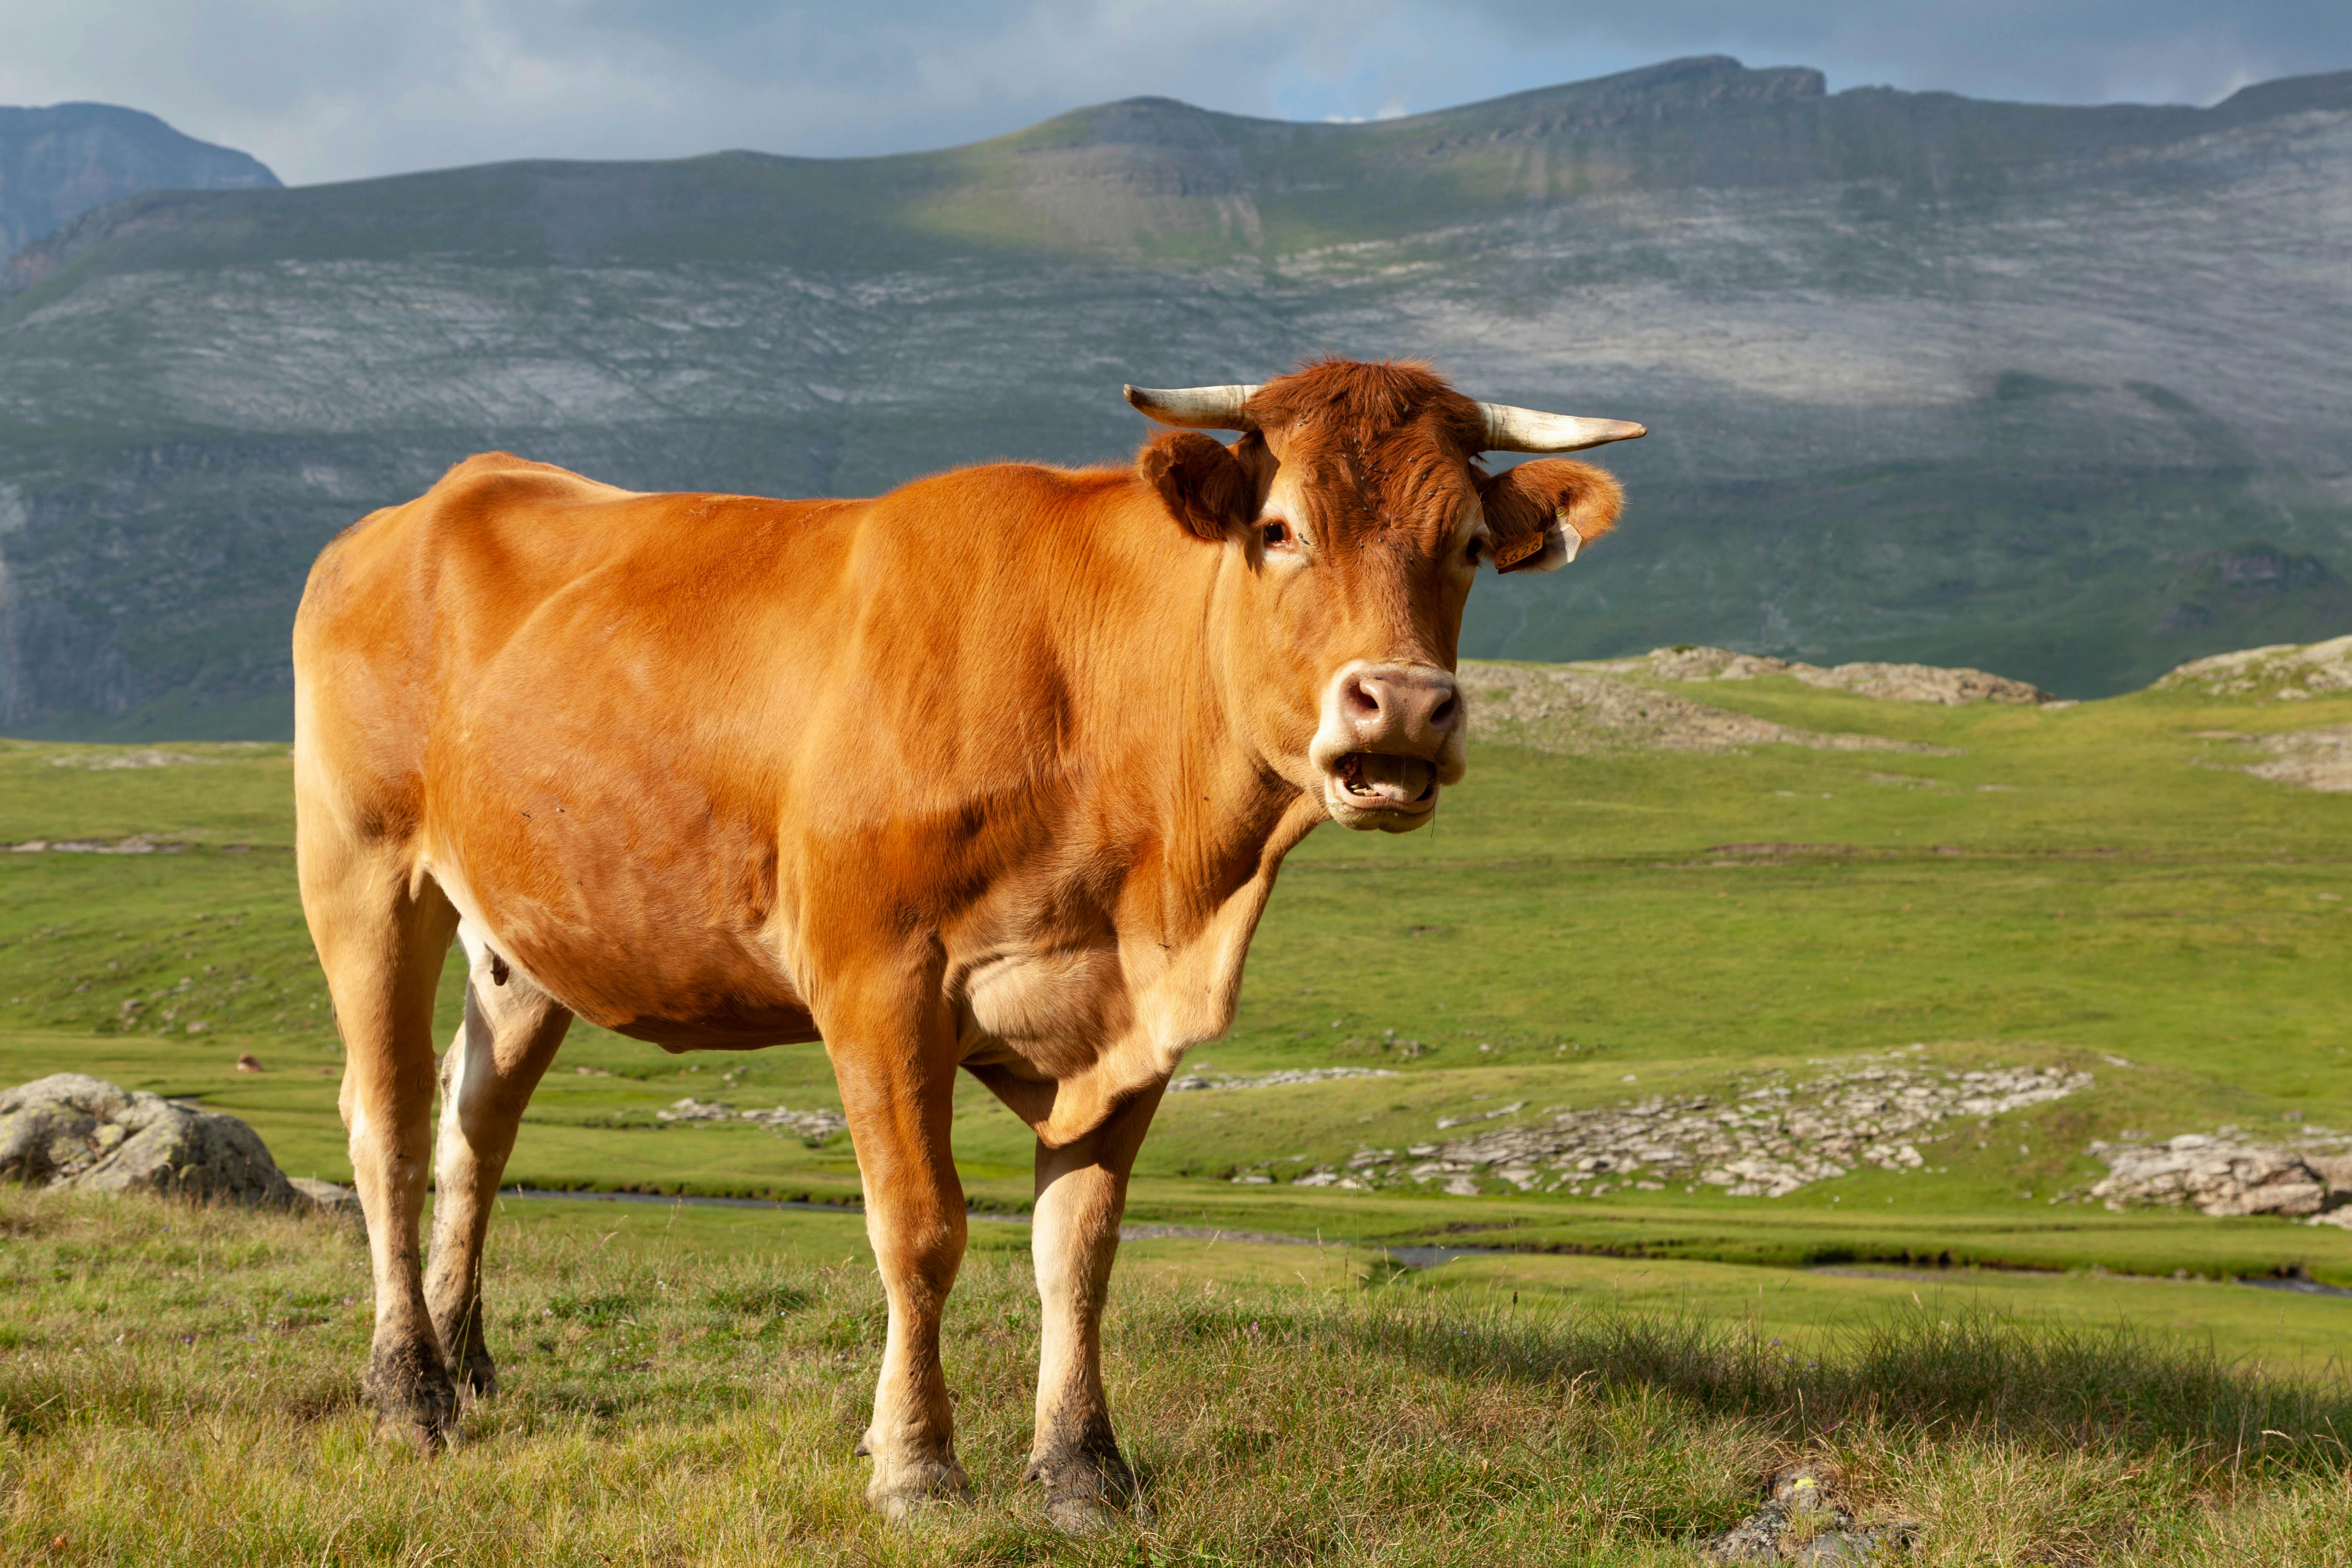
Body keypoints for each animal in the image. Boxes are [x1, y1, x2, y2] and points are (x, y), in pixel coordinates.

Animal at [291, 357, 1638, 1528]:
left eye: (1468, 547)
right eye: (1278, 530)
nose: (1402, 705)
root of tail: (438, 496)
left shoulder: (1125, 1020)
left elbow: (1078, 1246)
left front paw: (1083, 1469)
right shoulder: (876, 979)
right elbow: (922, 1227)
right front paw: (916, 1464)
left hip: (521, 928)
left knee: (476, 1125)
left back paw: (468, 1360)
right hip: (362, 865)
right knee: (389, 1120)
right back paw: (409, 1390)